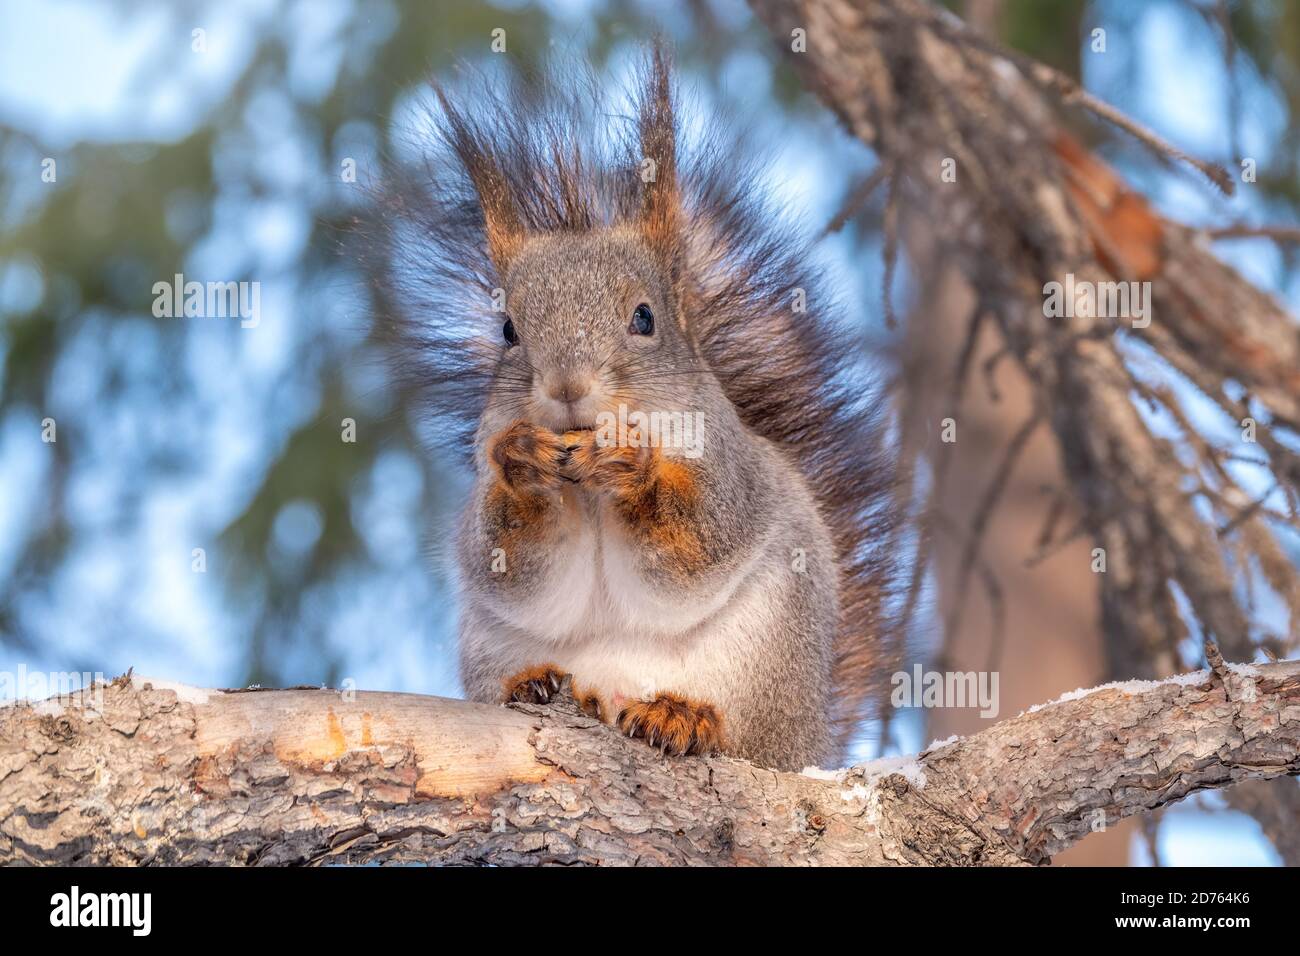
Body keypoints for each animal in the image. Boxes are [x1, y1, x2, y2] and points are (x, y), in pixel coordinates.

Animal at [372, 46, 895, 771]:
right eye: (507, 329)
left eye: (644, 318)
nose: (567, 387)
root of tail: (810, 743)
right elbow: (509, 562)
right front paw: (522, 462)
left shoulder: (730, 473)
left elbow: (695, 543)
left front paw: (631, 464)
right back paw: (539, 687)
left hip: (767, 662)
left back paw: (685, 716)